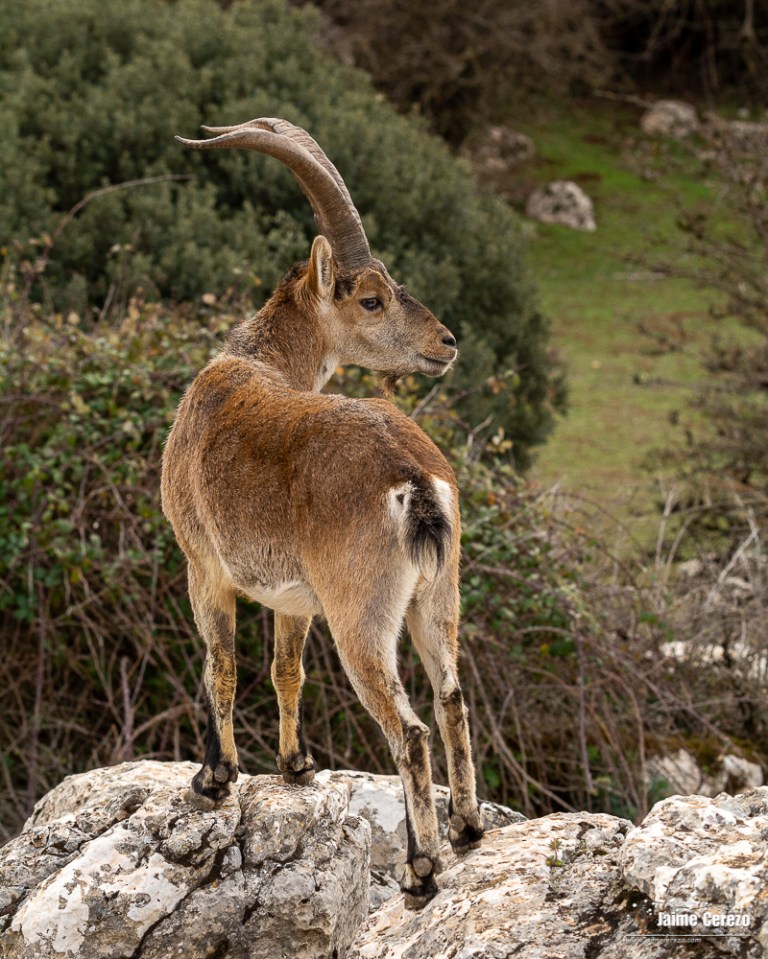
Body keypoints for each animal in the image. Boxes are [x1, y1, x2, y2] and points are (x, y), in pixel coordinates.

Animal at [161, 118, 484, 907]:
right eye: (372, 298)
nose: (446, 344)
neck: (255, 362)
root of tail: (414, 482)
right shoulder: (295, 598)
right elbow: (286, 669)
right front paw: (296, 765)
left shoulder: (203, 566)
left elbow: (222, 665)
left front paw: (215, 778)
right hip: (437, 595)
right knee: (452, 697)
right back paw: (465, 829)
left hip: (360, 614)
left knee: (410, 729)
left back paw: (421, 867)